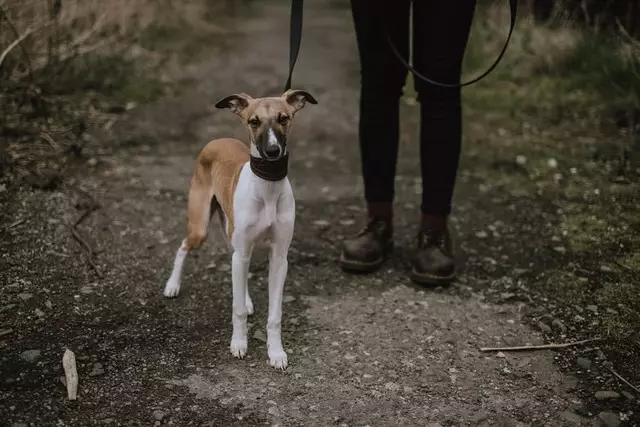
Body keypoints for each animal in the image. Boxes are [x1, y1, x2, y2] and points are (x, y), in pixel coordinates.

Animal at [164, 88, 316, 370]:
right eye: (253, 121)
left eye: (284, 118)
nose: (272, 151)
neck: (267, 186)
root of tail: (217, 140)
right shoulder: (243, 250)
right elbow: (237, 310)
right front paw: (239, 343)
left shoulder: (279, 258)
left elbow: (275, 314)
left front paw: (276, 352)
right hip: (201, 228)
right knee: (184, 246)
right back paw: (172, 285)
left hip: (234, 238)